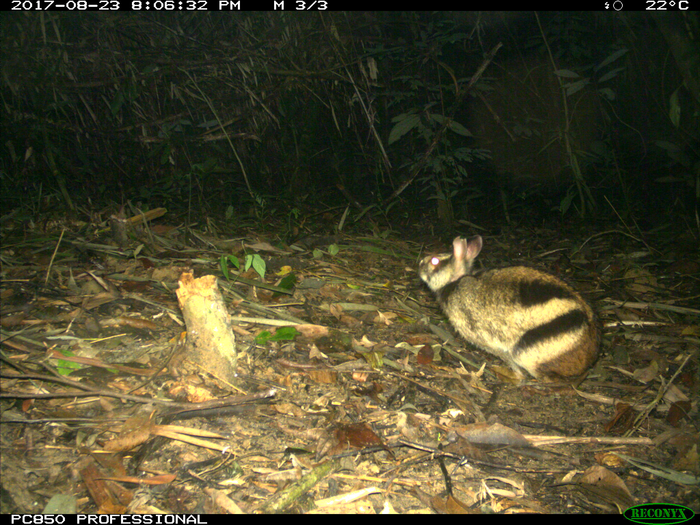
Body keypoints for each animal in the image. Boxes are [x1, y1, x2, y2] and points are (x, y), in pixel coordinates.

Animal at [419, 236, 599, 381]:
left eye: (434, 261)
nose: (420, 263)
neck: (455, 281)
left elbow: (510, 362)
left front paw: (513, 375)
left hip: (526, 353)